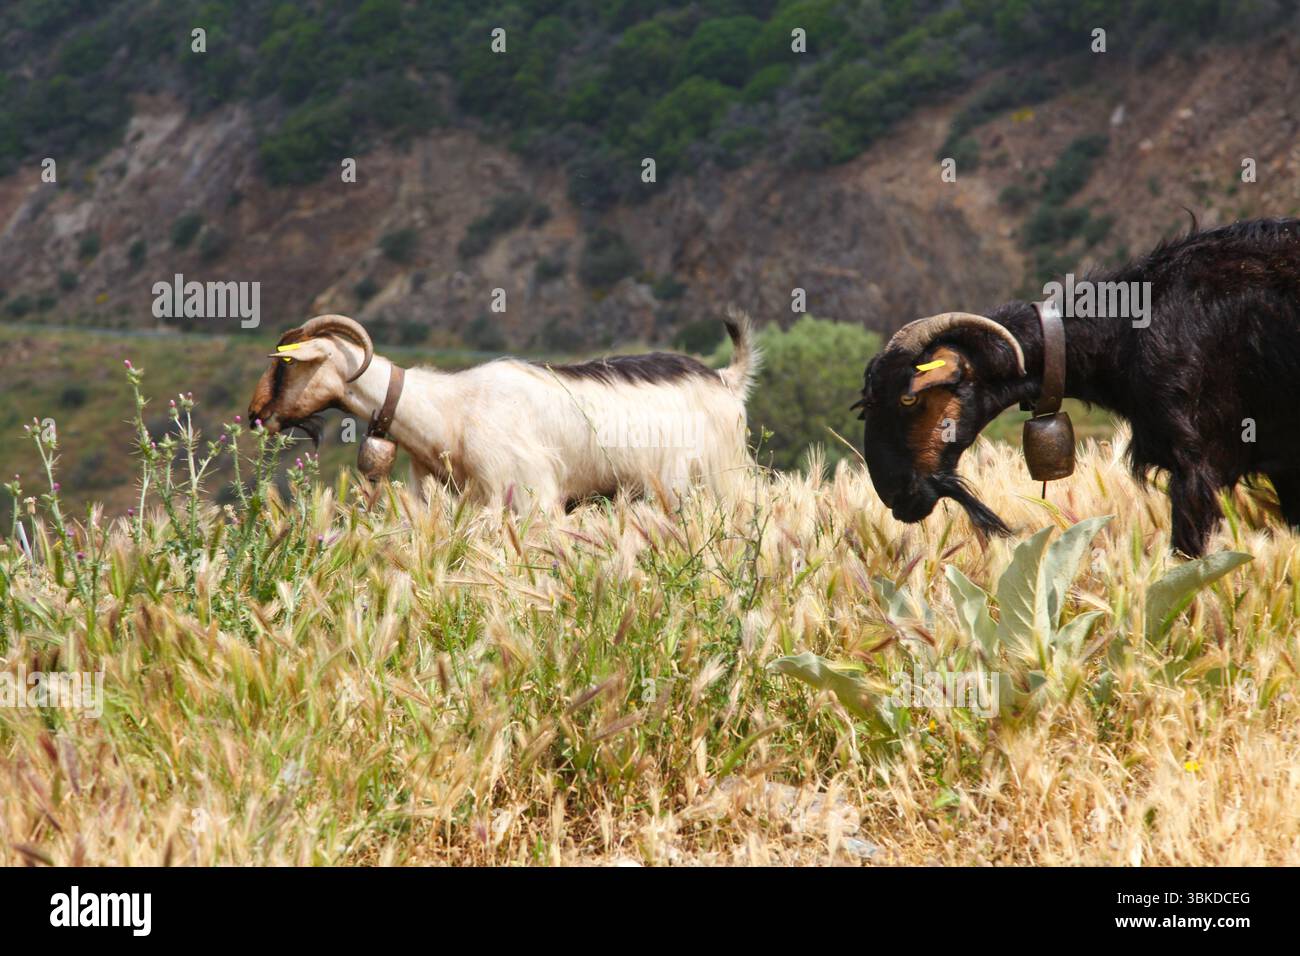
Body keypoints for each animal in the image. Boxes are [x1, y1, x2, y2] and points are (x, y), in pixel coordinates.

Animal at [247, 313, 759, 512]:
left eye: (287, 362)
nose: (255, 414)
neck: (449, 410)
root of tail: (726, 378)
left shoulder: (530, 493)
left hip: (715, 480)